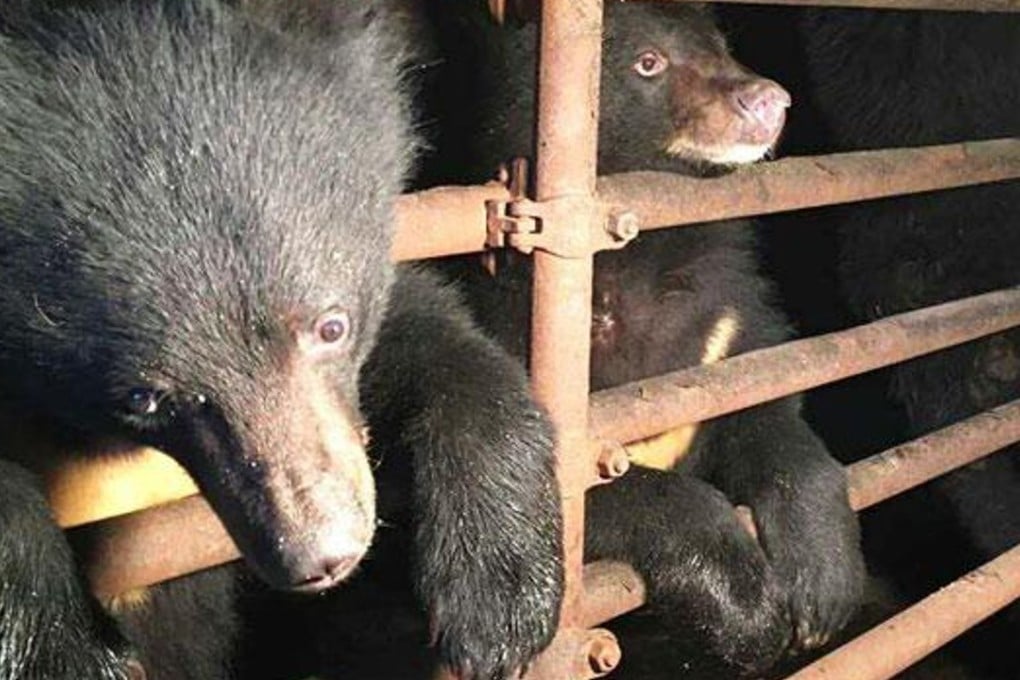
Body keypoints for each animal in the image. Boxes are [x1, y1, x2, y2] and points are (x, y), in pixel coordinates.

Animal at [0, 2, 563, 679]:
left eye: (331, 325)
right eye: (143, 399)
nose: (321, 555)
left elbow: (423, 324)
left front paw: (503, 593)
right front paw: (66, 650)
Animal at [415, 1, 867, 676]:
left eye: (723, 45)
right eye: (648, 62)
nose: (769, 100)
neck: (642, 263)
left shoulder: (723, 318)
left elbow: (765, 405)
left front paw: (825, 584)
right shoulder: (509, 321)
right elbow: (597, 496)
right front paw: (748, 612)